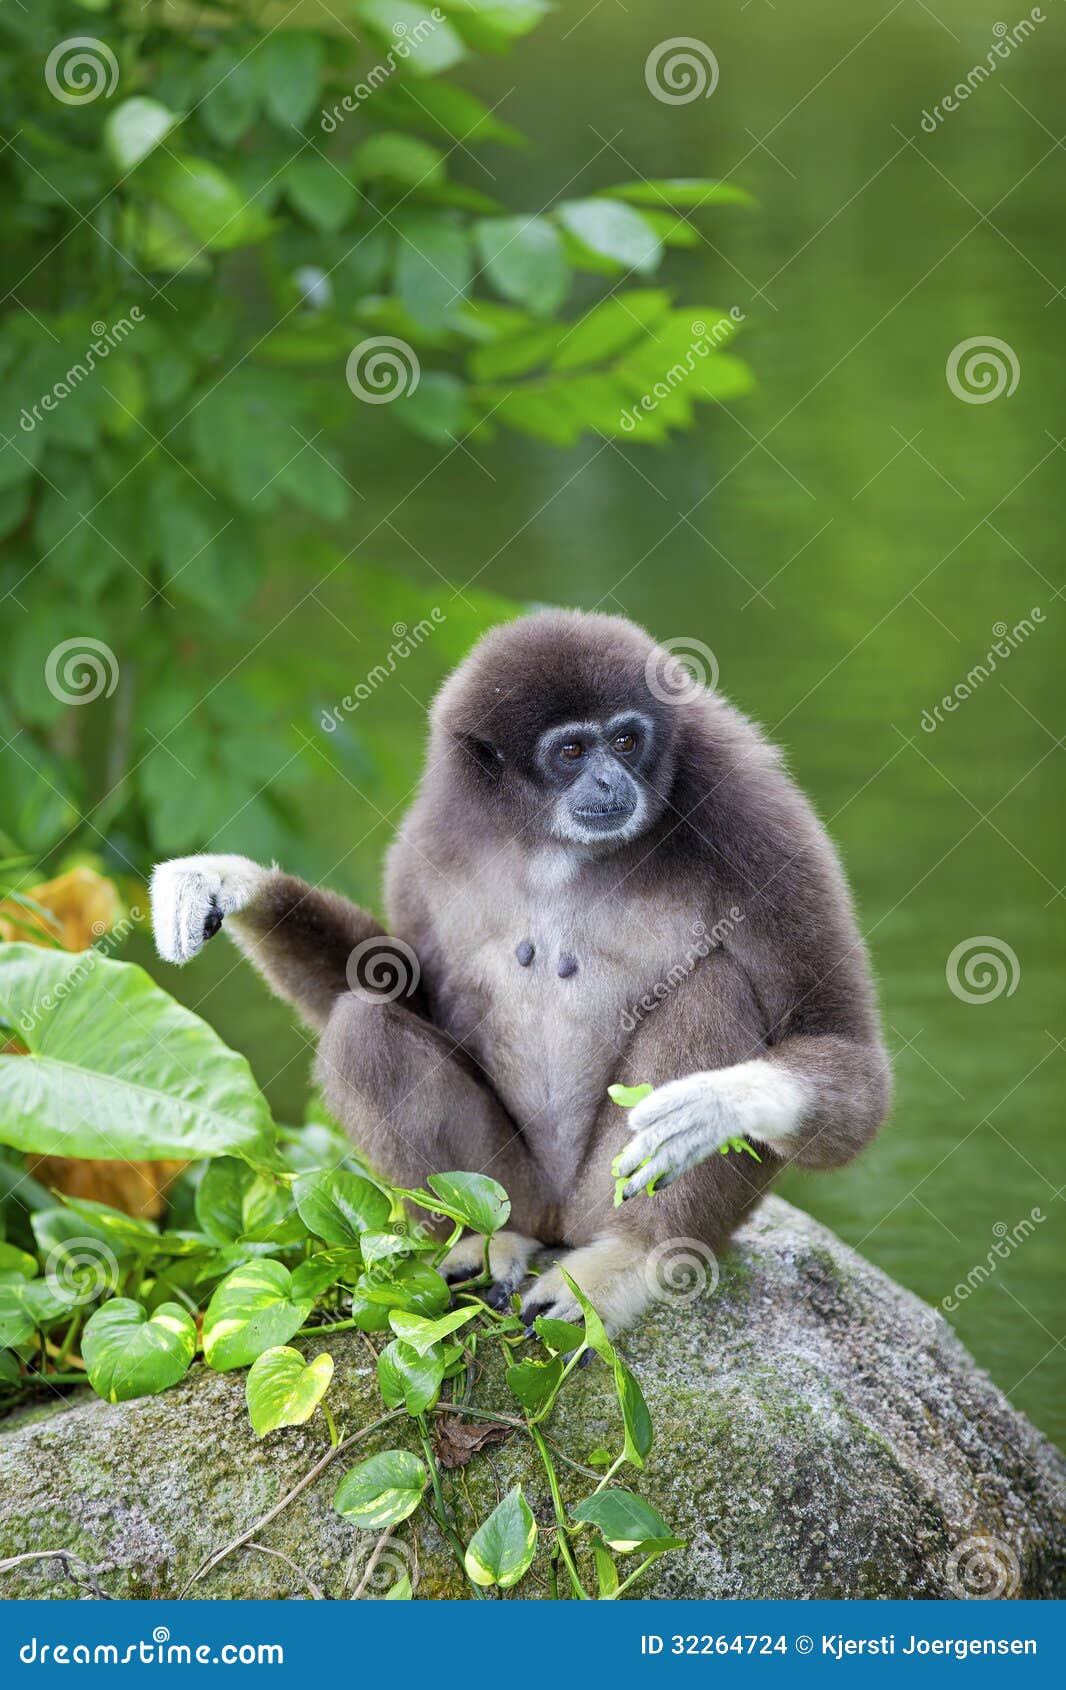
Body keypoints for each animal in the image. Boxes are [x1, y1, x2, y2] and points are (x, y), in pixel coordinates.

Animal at [150, 609, 891, 1334]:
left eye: (626, 741)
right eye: (571, 752)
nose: (610, 781)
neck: (555, 846)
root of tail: (559, 1219)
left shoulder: (751, 810)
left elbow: (843, 1048)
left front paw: (720, 1103)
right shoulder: (430, 835)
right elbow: (386, 979)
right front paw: (227, 882)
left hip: (604, 1189)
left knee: (716, 989)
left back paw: (632, 1255)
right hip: (505, 1186)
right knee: (365, 1025)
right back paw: (482, 1241)